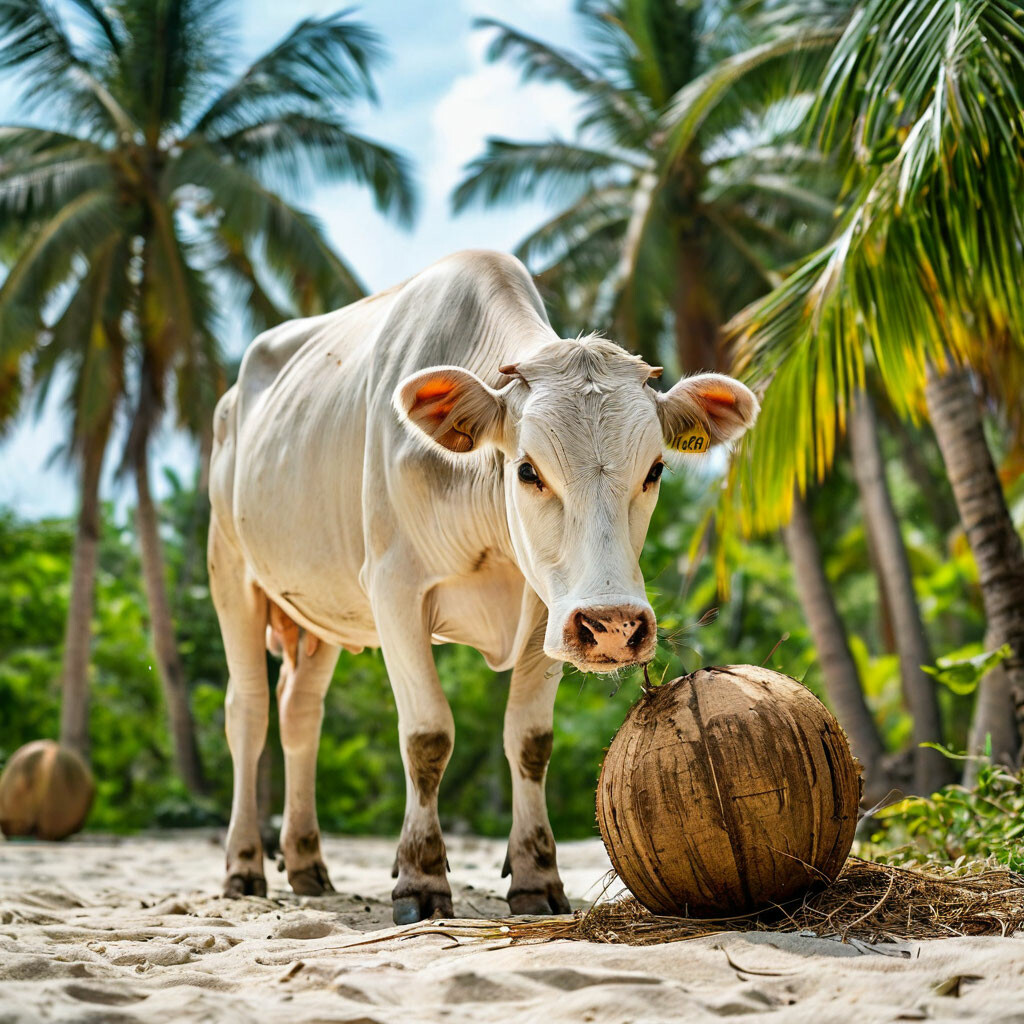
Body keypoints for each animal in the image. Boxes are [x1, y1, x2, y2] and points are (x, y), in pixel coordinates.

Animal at [208, 250, 759, 924]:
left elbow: (530, 741)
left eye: (655, 469)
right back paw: (243, 867)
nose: (614, 626)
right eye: (527, 470)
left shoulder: (550, 612)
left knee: (300, 715)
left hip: (322, 614)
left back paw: (308, 864)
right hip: (231, 569)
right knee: (249, 712)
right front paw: (419, 878)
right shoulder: (395, 590)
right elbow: (427, 736)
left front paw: (536, 876)